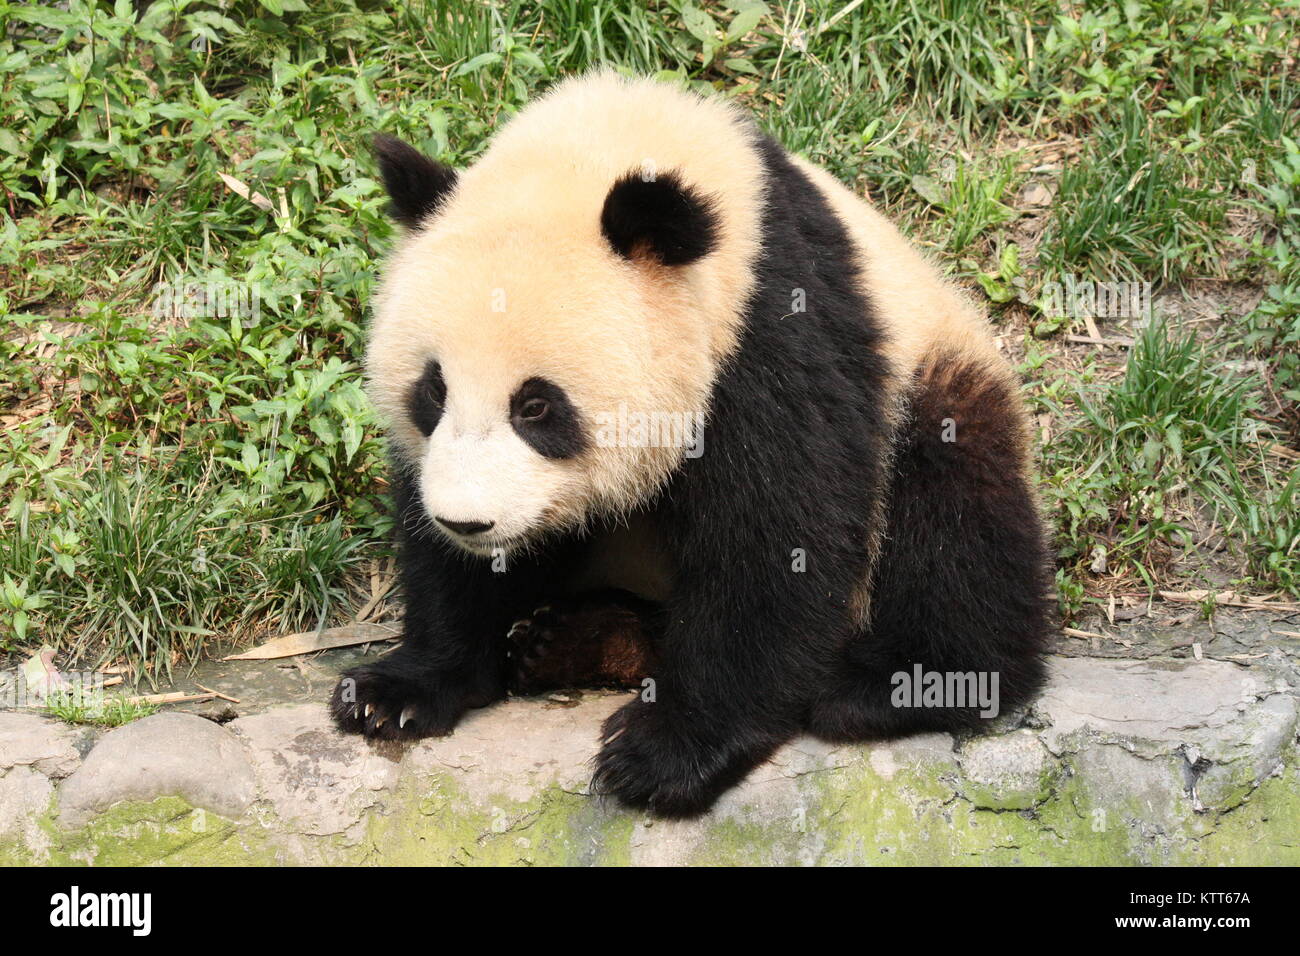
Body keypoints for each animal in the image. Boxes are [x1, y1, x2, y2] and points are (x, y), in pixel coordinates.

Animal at [330, 72, 1051, 817]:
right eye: (433, 390)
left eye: (536, 406)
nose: (467, 522)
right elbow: (444, 560)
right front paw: (398, 692)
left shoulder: (771, 329)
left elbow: (779, 532)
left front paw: (662, 754)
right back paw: (576, 640)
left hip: (928, 375)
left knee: (954, 518)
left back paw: (885, 685)